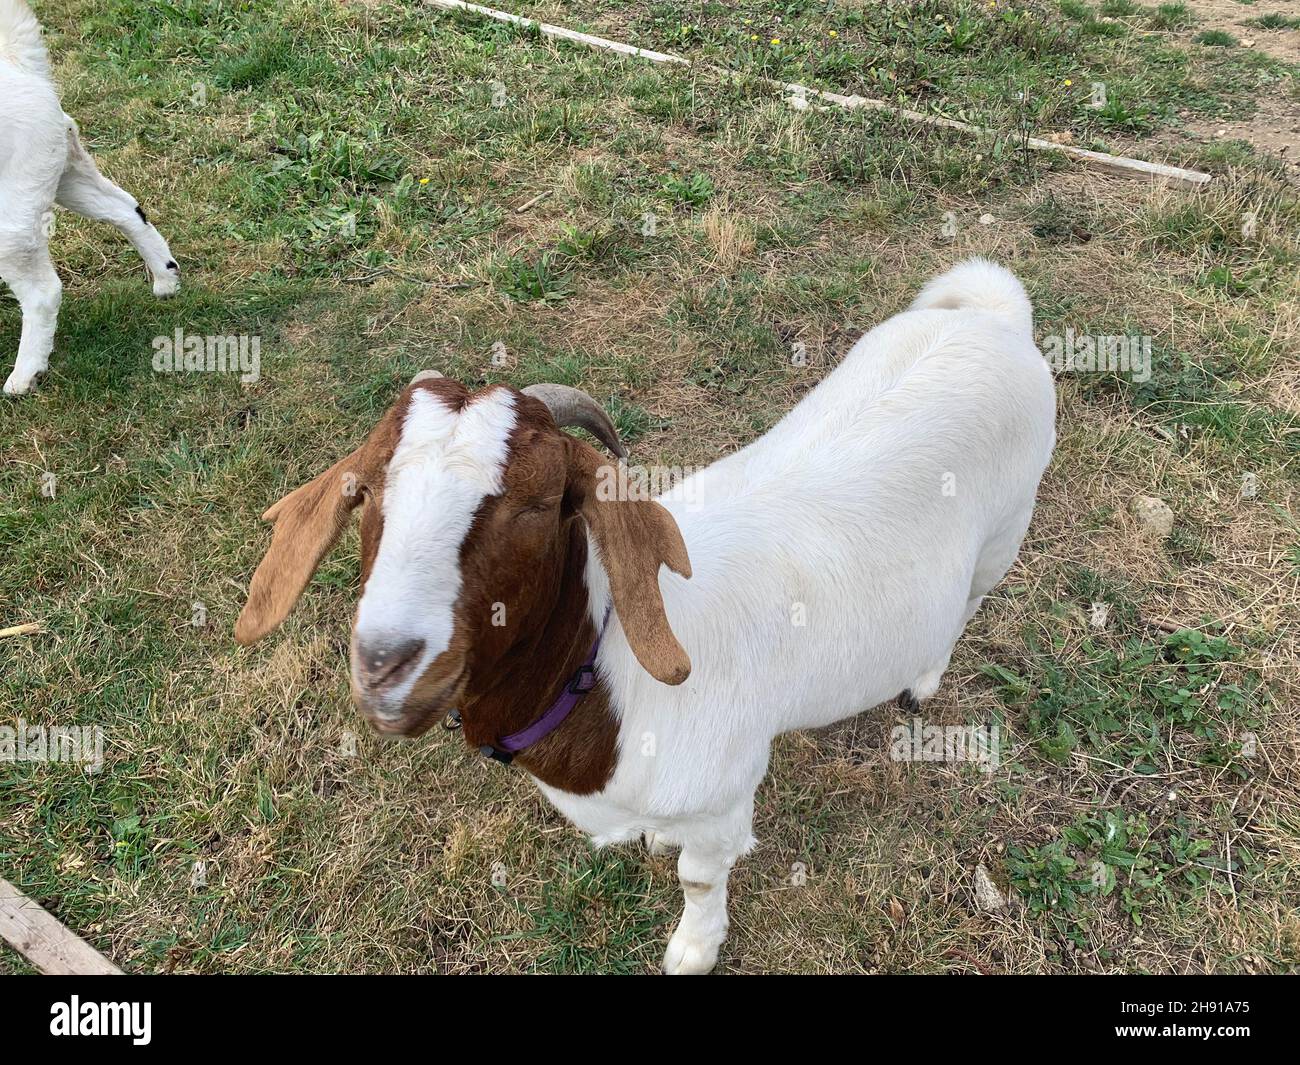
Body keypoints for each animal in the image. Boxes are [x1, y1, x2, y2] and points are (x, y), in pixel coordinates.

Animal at [0, 0, 179, 395]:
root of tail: (22, 70)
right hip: (67, 174)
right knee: (127, 210)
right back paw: (166, 278)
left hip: (12, 218)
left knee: (43, 293)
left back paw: (25, 374)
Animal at [235, 258, 1056, 974]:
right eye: (367, 491)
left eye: (538, 504)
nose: (386, 663)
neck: (615, 673)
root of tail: (992, 315)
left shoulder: (722, 797)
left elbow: (699, 878)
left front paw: (694, 948)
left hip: (1005, 531)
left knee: (968, 603)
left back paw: (923, 679)